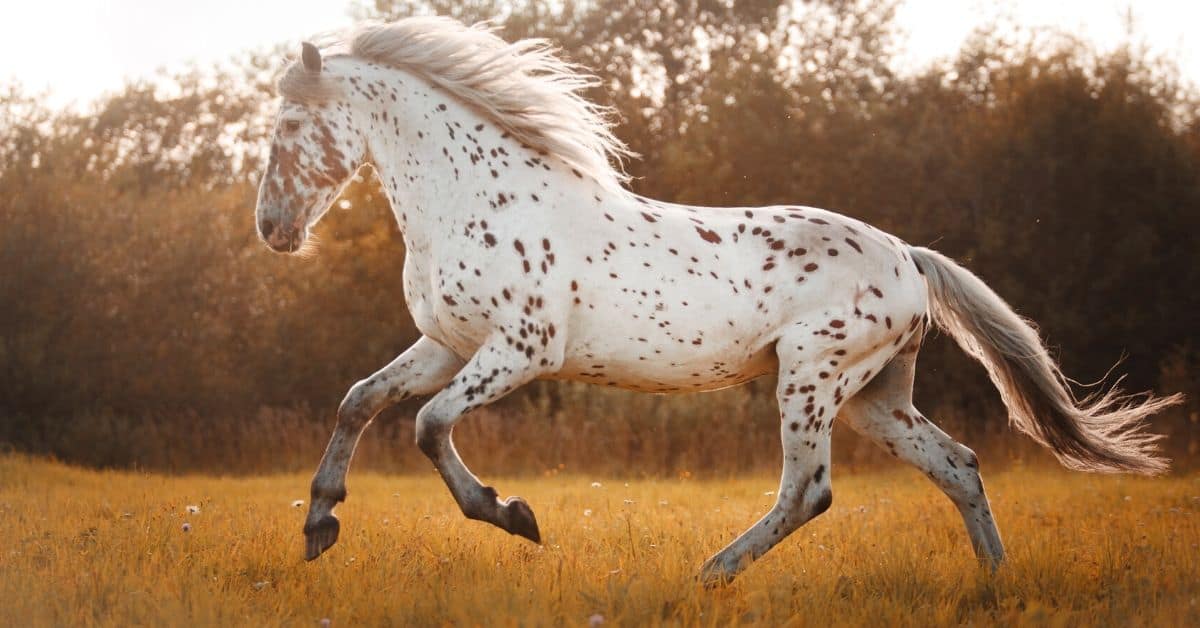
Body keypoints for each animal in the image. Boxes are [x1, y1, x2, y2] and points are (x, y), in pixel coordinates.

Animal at [253, 17, 1181, 584]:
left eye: (290, 127)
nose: (272, 229)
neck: (477, 196)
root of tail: (909, 259)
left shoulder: (521, 349)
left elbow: (427, 424)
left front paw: (514, 516)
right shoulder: (448, 343)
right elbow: (360, 401)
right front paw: (318, 526)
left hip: (811, 378)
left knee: (808, 491)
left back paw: (707, 575)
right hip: (875, 397)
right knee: (958, 465)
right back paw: (993, 581)